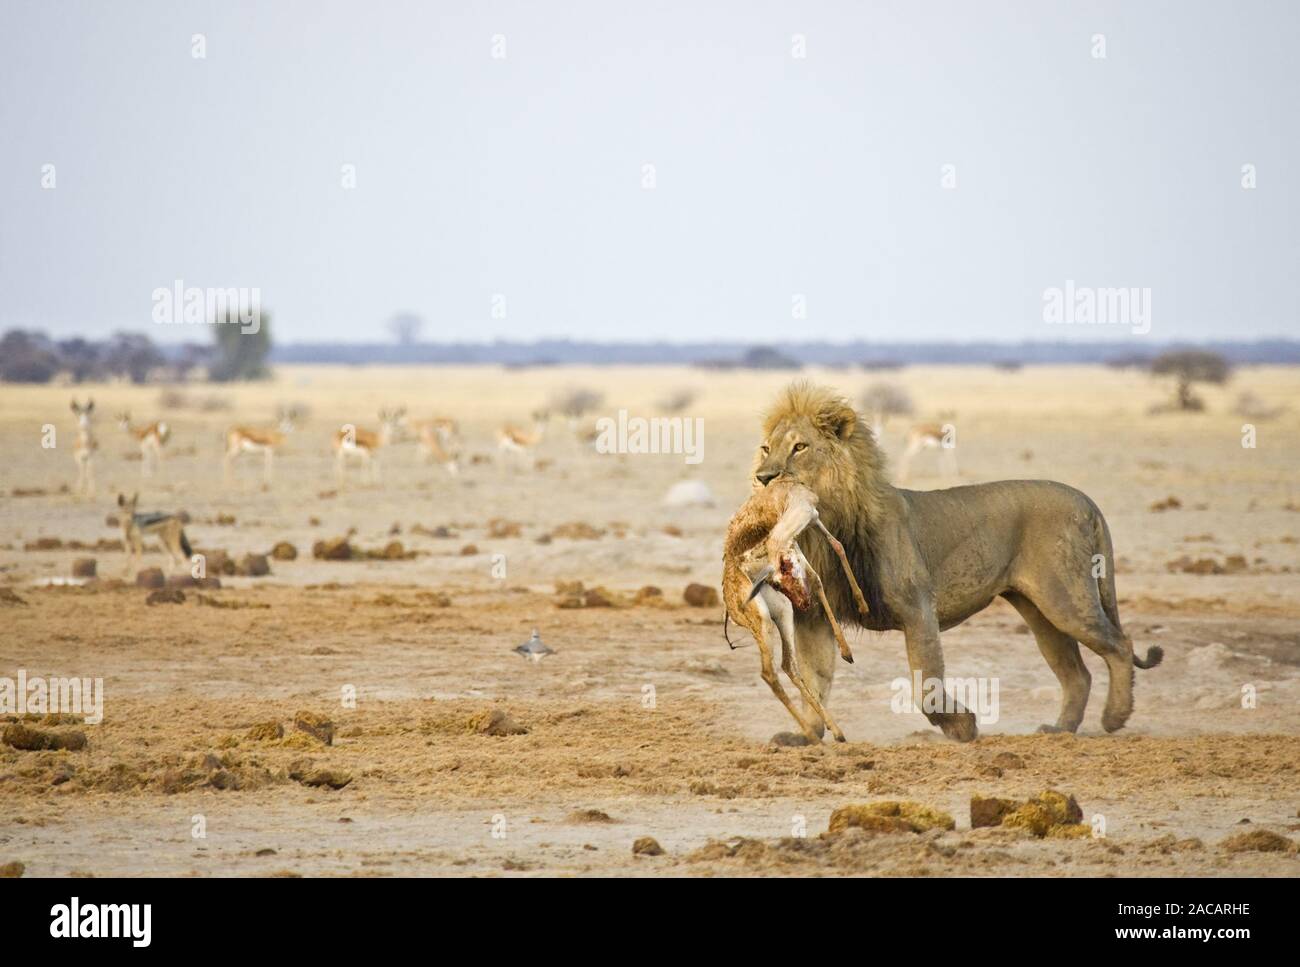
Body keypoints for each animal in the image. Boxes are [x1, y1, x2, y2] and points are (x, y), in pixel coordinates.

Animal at [722, 478, 870, 744]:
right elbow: (831, 556)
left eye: (782, 574)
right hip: (764, 623)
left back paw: (835, 731)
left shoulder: (803, 534)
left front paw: (847, 648)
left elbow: (824, 568)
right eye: (777, 580)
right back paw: (813, 734)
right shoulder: (805, 525)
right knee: (769, 673)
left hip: (782, 612)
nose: (803, 604)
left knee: (788, 665)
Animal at [749, 381, 1163, 744]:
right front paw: (806, 736)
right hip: (1038, 611)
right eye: (766, 448)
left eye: (800, 447)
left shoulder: (918, 607)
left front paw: (963, 727)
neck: (828, 522)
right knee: (1077, 674)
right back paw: (1060, 730)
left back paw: (1114, 717)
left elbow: (927, 686)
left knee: (1119, 645)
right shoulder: (817, 618)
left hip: (1064, 599)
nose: (763, 477)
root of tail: (1085, 500)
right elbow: (815, 682)